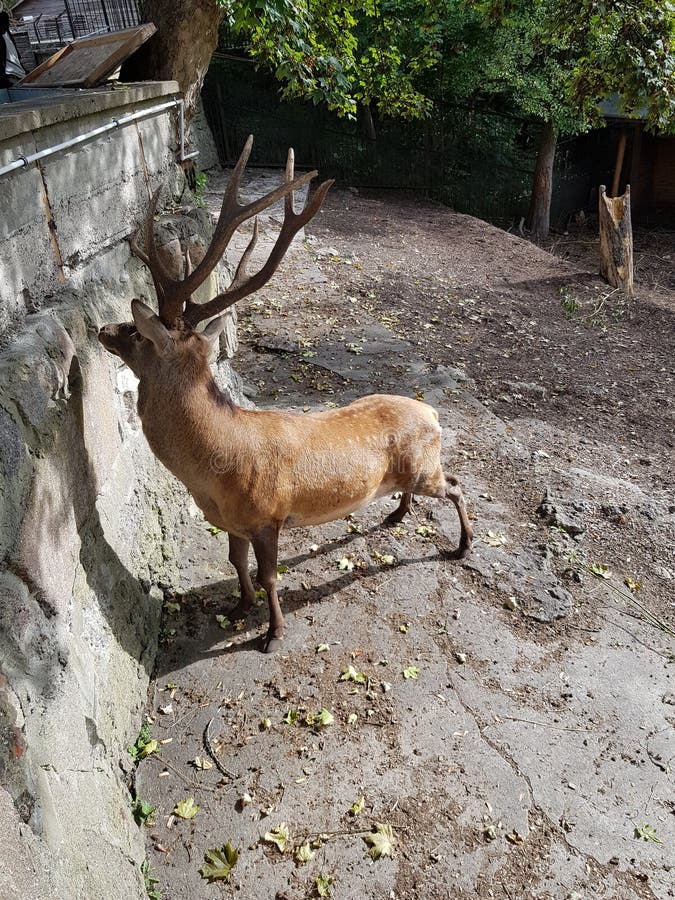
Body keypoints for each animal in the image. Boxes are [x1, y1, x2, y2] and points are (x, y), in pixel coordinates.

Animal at [98, 136, 473, 653]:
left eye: (137, 333)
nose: (103, 328)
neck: (214, 473)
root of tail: (433, 412)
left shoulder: (268, 515)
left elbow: (270, 576)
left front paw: (272, 633)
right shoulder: (233, 522)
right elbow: (236, 564)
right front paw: (240, 607)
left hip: (427, 469)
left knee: (455, 484)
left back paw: (463, 545)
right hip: (413, 470)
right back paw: (397, 516)